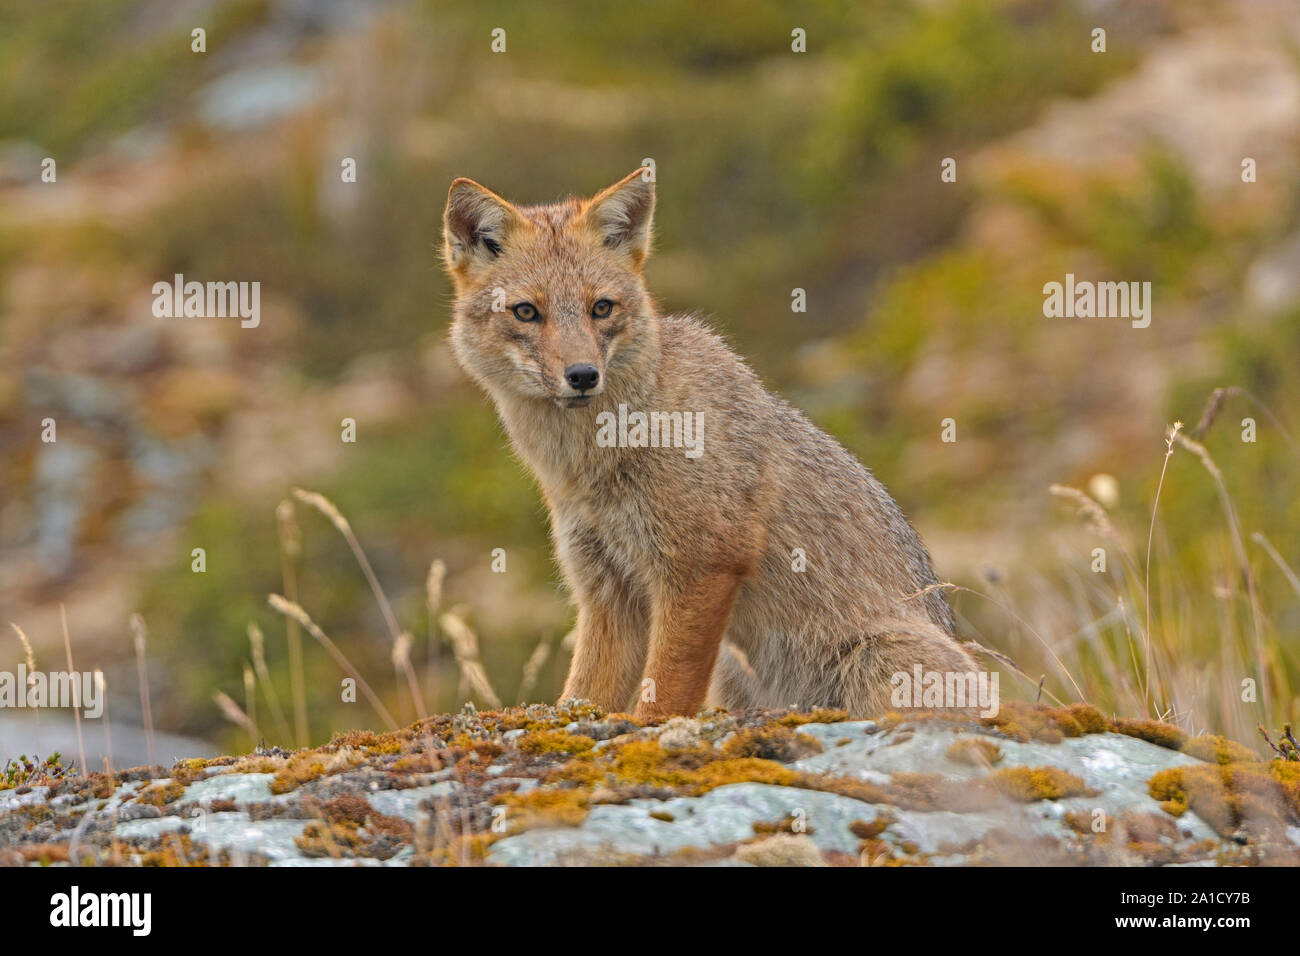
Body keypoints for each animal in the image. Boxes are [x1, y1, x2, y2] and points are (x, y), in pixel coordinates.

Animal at [441, 168, 978, 722]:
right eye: (527, 312)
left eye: (601, 308)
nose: (583, 375)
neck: (597, 459)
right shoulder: (606, 590)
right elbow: (583, 694)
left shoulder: (702, 566)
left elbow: (665, 695)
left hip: (876, 658)